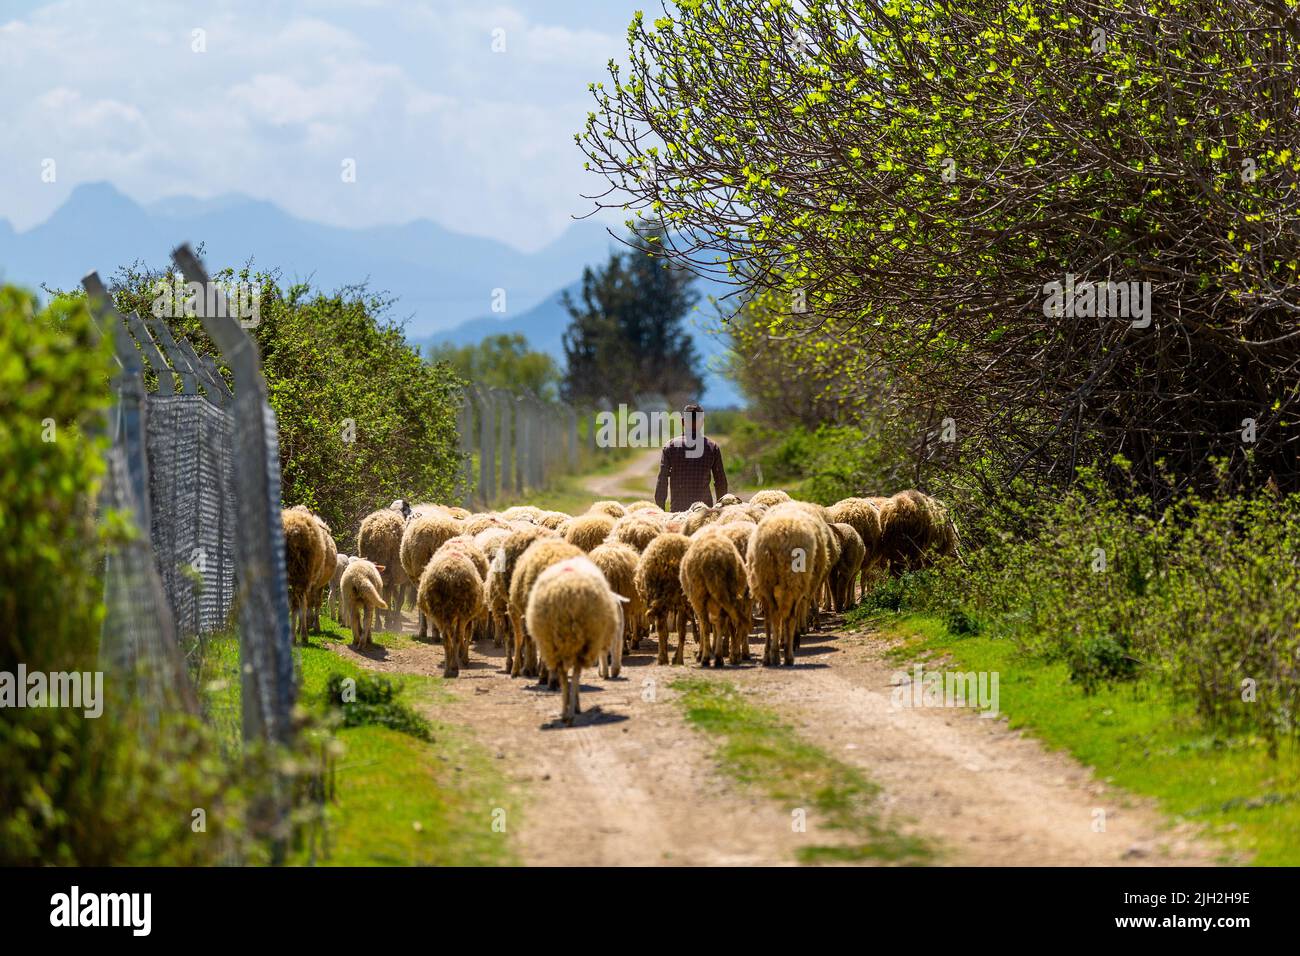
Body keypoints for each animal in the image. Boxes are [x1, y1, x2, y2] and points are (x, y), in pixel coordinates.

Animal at [635, 532, 694, 665]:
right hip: (680, 600)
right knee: (679, 630)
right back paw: (675, 659)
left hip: (666, 599)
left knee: (665, 629)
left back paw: (664, 658)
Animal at [680, 533, 750, 667]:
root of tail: (716, 558)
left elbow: (704, 627)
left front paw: (701, 653)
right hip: (731, 592)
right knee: (735, 621)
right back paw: (728, 656)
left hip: (699, 595)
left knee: (707, 625)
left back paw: (706, 658)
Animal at [747, 506, 819, 666]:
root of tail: (785, 532)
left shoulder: (764, 593)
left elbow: (768, 623)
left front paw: (768, 653)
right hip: (798, 582)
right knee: (791, 617)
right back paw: (788, 655)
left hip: (768, 581)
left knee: (774, 615)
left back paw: (774, 656)